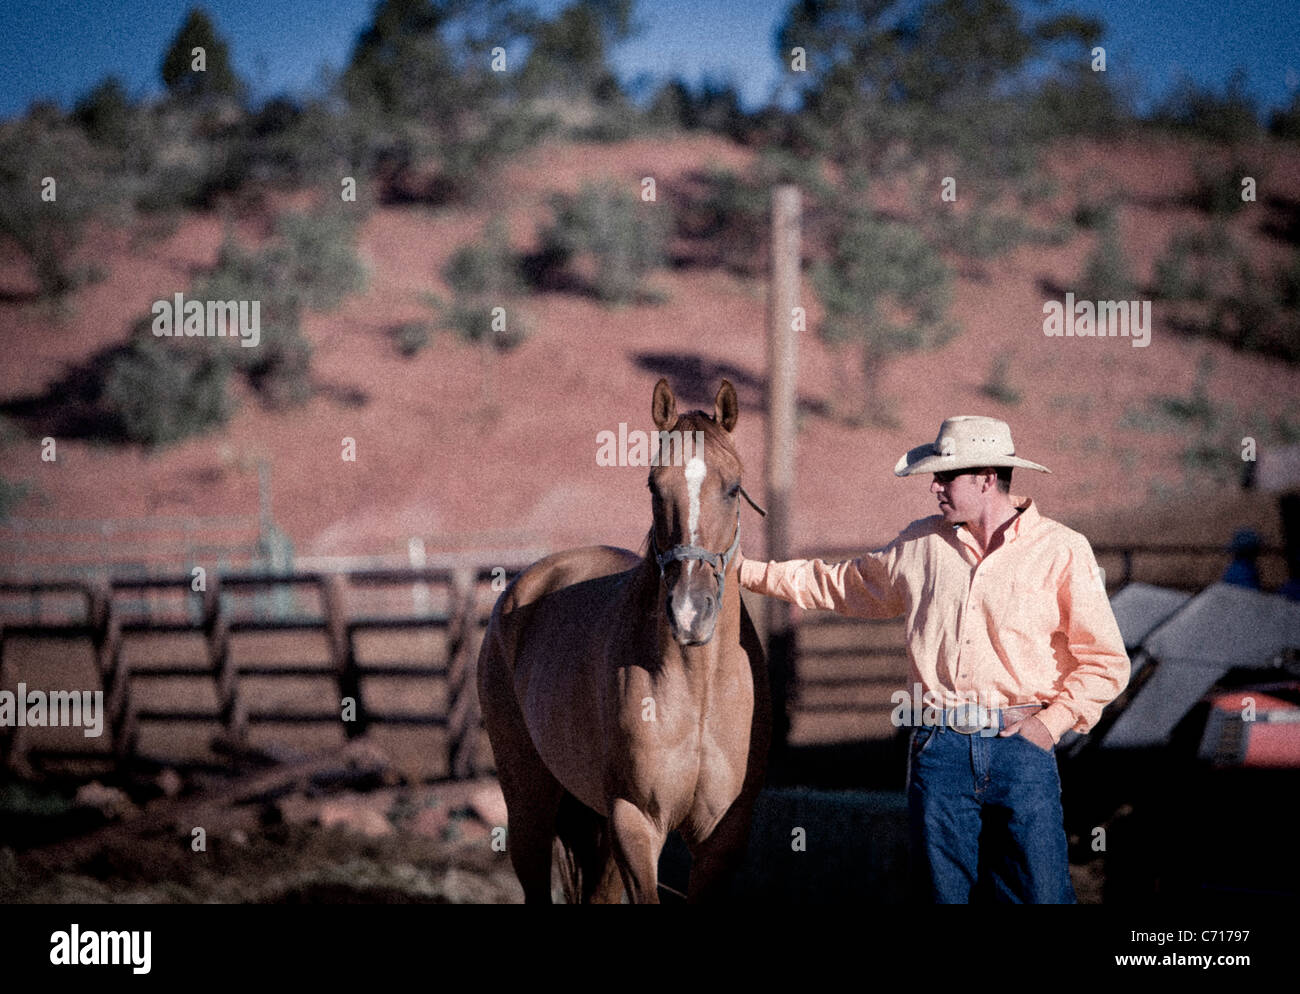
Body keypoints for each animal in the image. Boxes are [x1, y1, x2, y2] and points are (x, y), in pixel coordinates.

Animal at [476, 378, 770, 903]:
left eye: (734, 488)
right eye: (654, 487)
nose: (689, 611)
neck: (698, 689)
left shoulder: (723, 835)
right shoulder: (635, 822)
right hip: (530, 803)